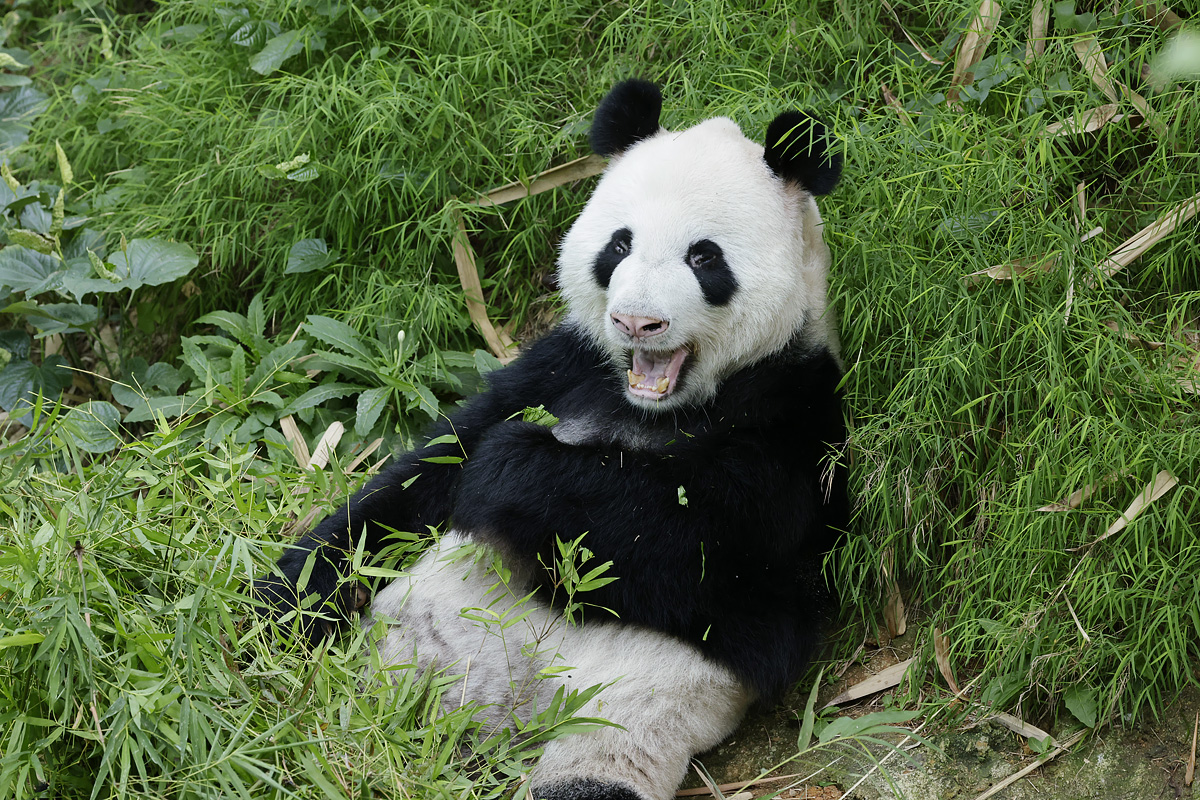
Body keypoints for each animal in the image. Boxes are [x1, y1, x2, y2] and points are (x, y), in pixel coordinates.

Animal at [259, 79, 848, 800]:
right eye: (619, 245)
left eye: (704, 257)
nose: (636, 322)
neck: (653, 405)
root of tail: (507, 721)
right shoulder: (563, 367)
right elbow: (422, 476)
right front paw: (283, 595)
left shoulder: (794, 422)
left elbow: (701, 543)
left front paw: (516, 467)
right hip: (410, 638)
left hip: (635, 701)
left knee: (599, 766)